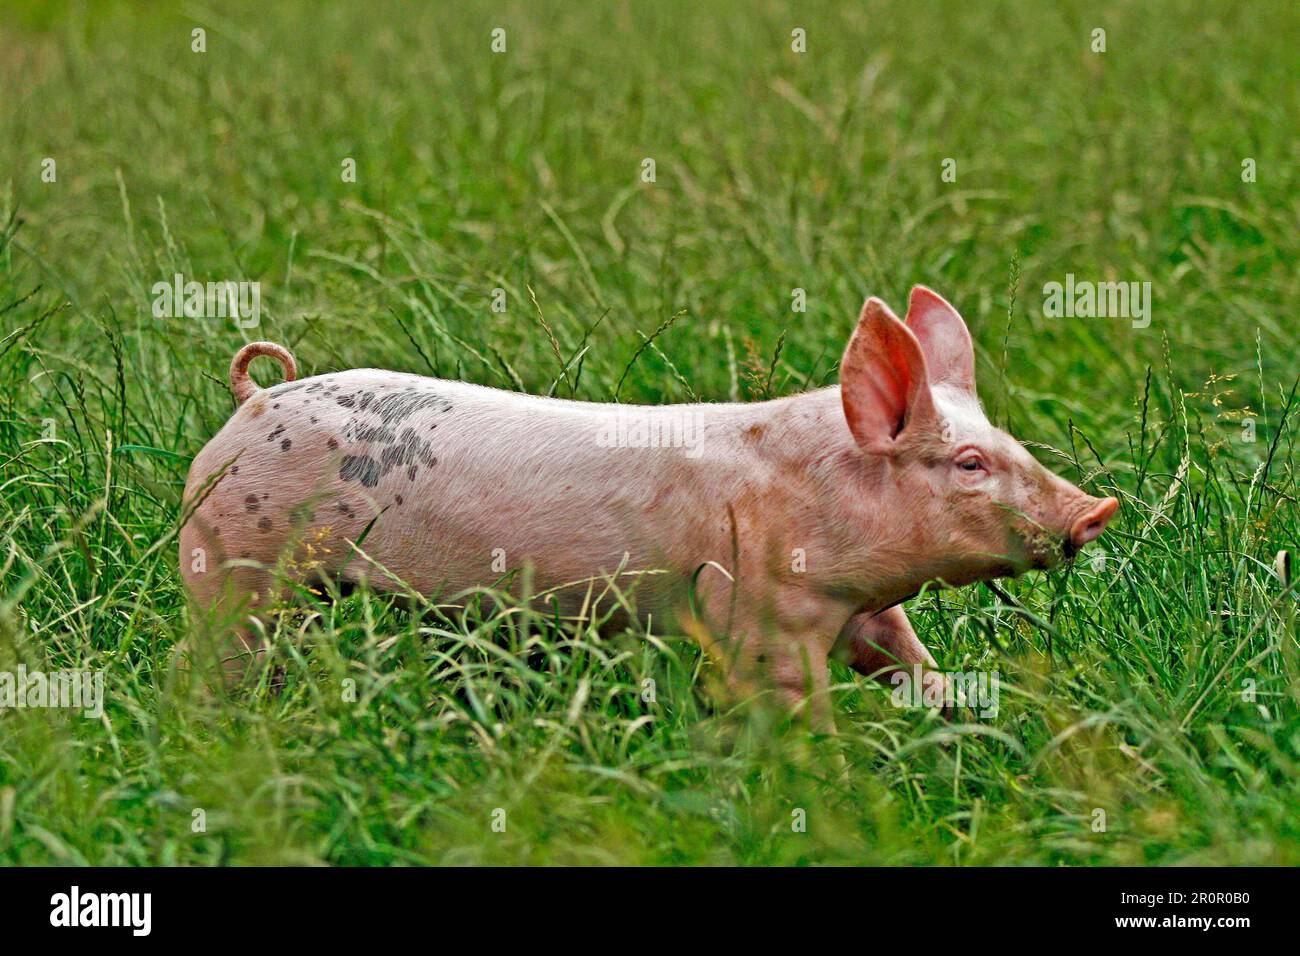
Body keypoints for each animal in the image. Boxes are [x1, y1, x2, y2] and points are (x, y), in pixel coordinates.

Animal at [179, 286, 1117, 726]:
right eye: (967, 462)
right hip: (233, 556)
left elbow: (909, 658)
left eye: (1011, 444)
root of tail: (254, 401)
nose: (1096, 510)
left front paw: (965, 713)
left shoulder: (866, 611)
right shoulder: (758, 609)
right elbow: (783, 696)